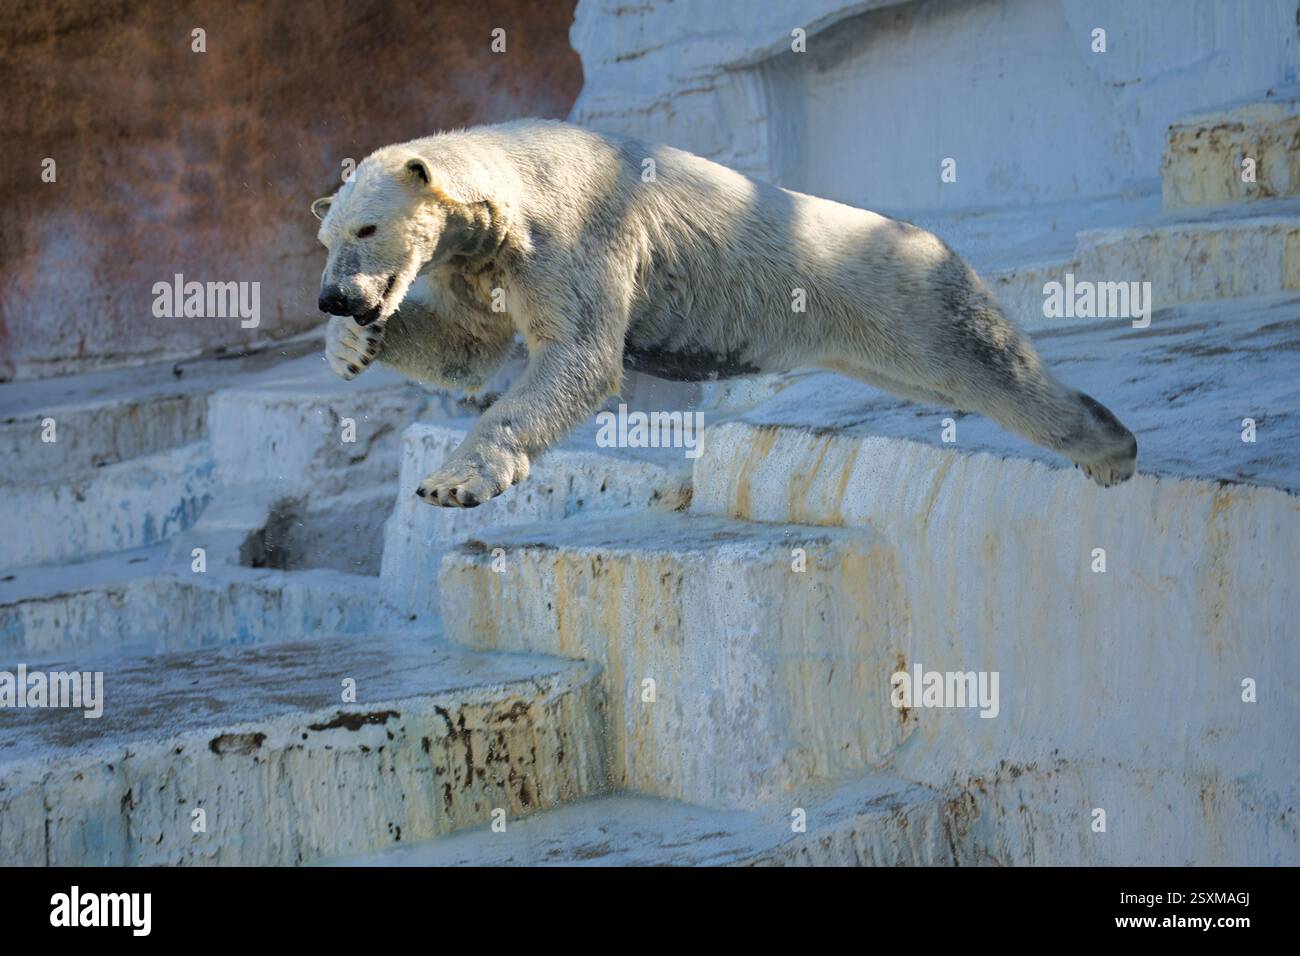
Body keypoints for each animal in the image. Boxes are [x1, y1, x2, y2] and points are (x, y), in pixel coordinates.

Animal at [311, 119, 1137, 507]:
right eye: (325, 237)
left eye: (367, 228)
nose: (334, 296)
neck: (515, 187)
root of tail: (929, 240)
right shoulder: (480, 260)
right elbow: (466, 346)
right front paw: (352, 346)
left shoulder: (575, 231)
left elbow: (577, 355)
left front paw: (454, 483)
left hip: (908, 289)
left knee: (986, 362)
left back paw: (1111, 450)